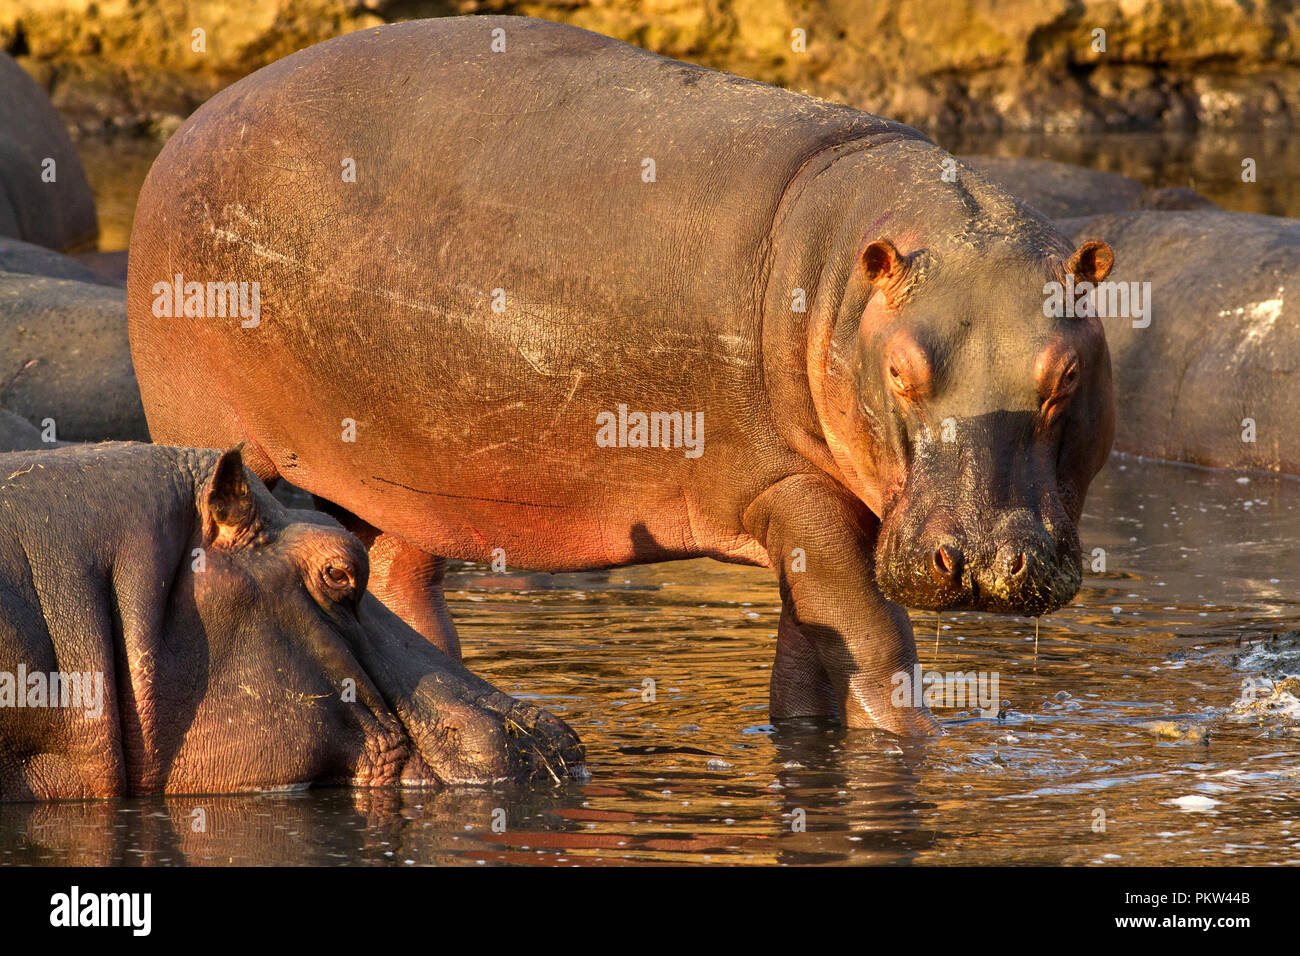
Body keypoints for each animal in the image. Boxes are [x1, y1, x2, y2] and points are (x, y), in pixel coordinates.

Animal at [128, 16, 1117, 737]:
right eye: (903, 370)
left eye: (1067, 373)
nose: (986, 557)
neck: (843, 274)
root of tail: (195, 123)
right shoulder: (792, 488)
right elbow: (872, 646)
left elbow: (811, 657)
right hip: (219, 427)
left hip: (405, 474)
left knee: (406, 585)